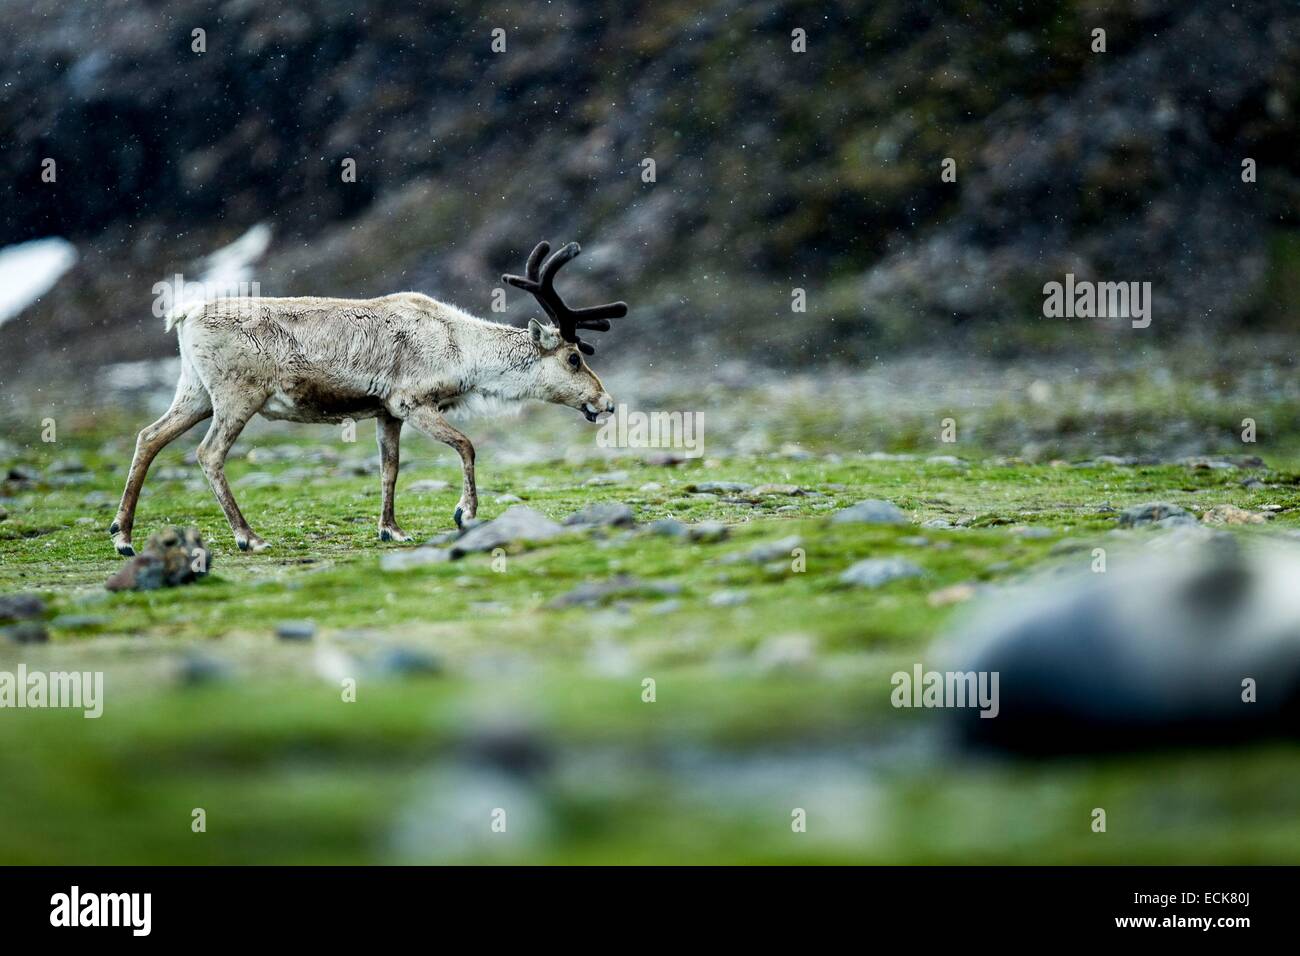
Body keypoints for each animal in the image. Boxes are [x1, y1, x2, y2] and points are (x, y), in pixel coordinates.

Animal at [109, 241, 627, 556]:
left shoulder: (385, 412)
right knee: (208, 453)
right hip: (237, 394)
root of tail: (184, 314)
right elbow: (466, 445)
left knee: (149, 436)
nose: (607, 403)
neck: (460, 348)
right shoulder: (412, 403)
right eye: (574, 358)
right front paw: (465, 512)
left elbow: (389, 468)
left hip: (194, 391)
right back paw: (248, 537)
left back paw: (123, 536)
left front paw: (390, 528)